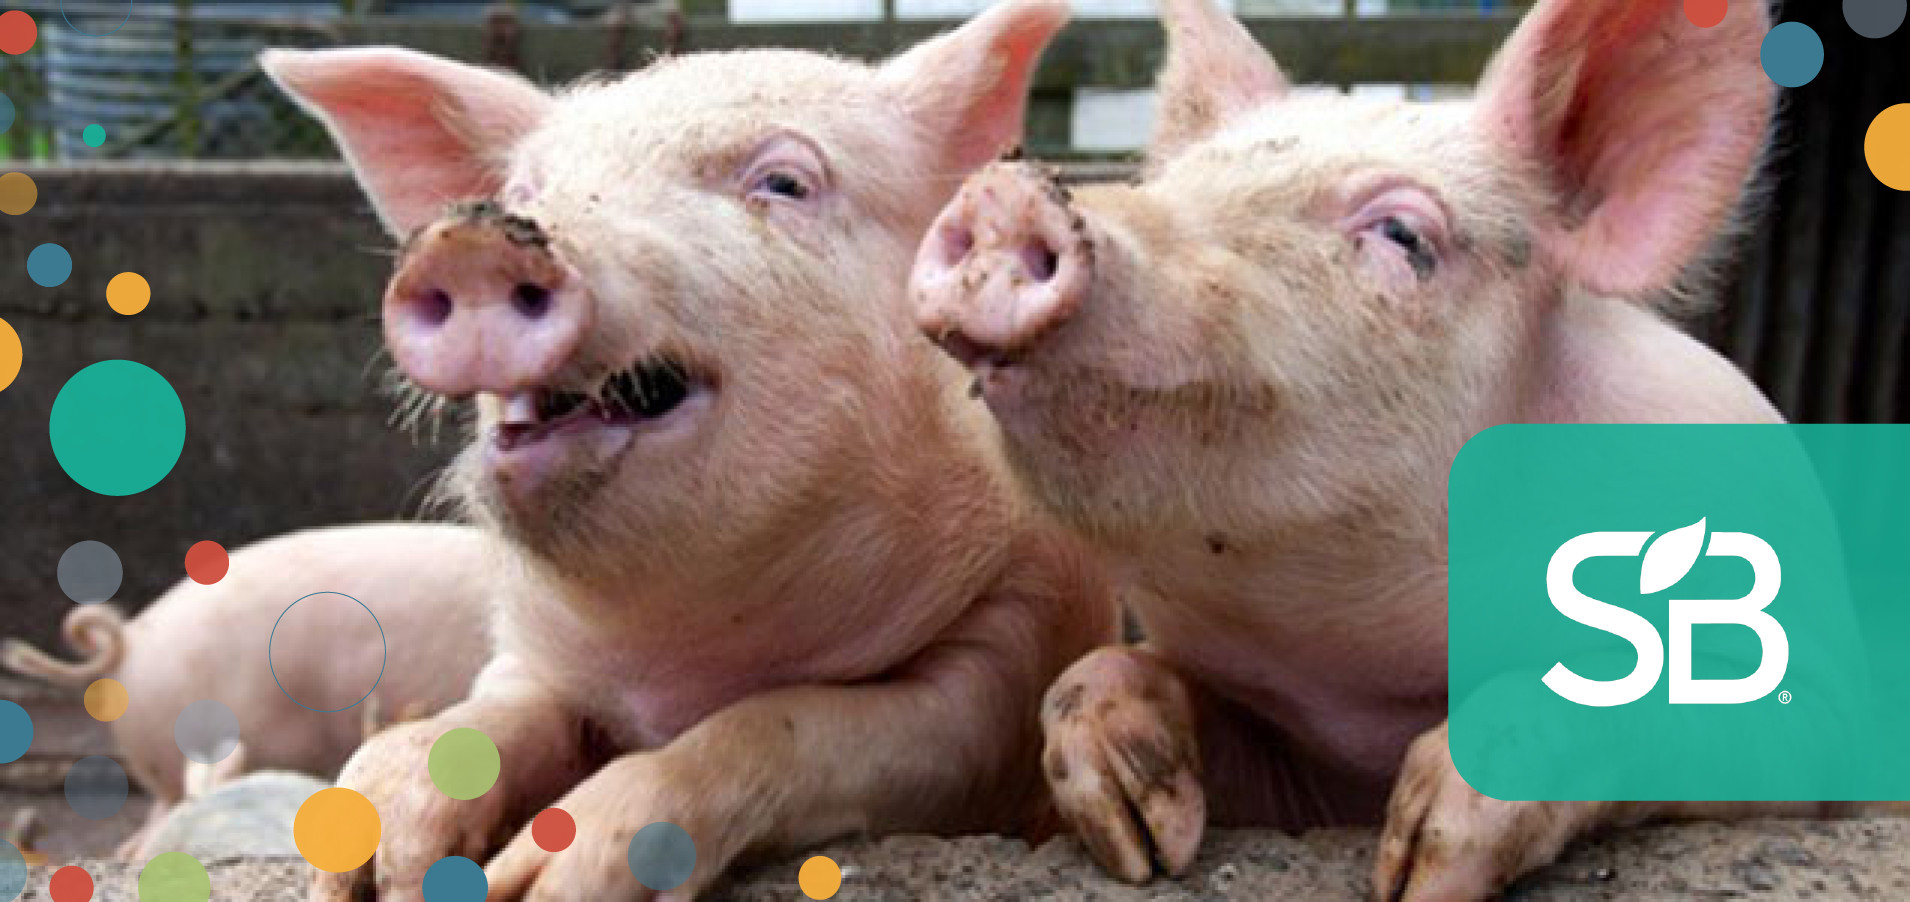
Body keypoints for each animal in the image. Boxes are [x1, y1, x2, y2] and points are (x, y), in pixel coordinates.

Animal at [258, 1, 1115, 898]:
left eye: (784, 183)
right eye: (523, 193)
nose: (472, 242)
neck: (675, 661)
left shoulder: (1005, 664)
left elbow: (795, 724)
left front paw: (535, 884)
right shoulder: (532, 657)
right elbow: (500, 709)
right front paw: (375, 864)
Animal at [907, 0, 1902, 898]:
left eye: (1400, 234)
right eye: (1180, 185)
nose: (1007, 195)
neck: (1370, 697)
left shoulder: (1805, 703)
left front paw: (1417, 870)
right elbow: (1092, 679)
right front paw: (1143, 838)